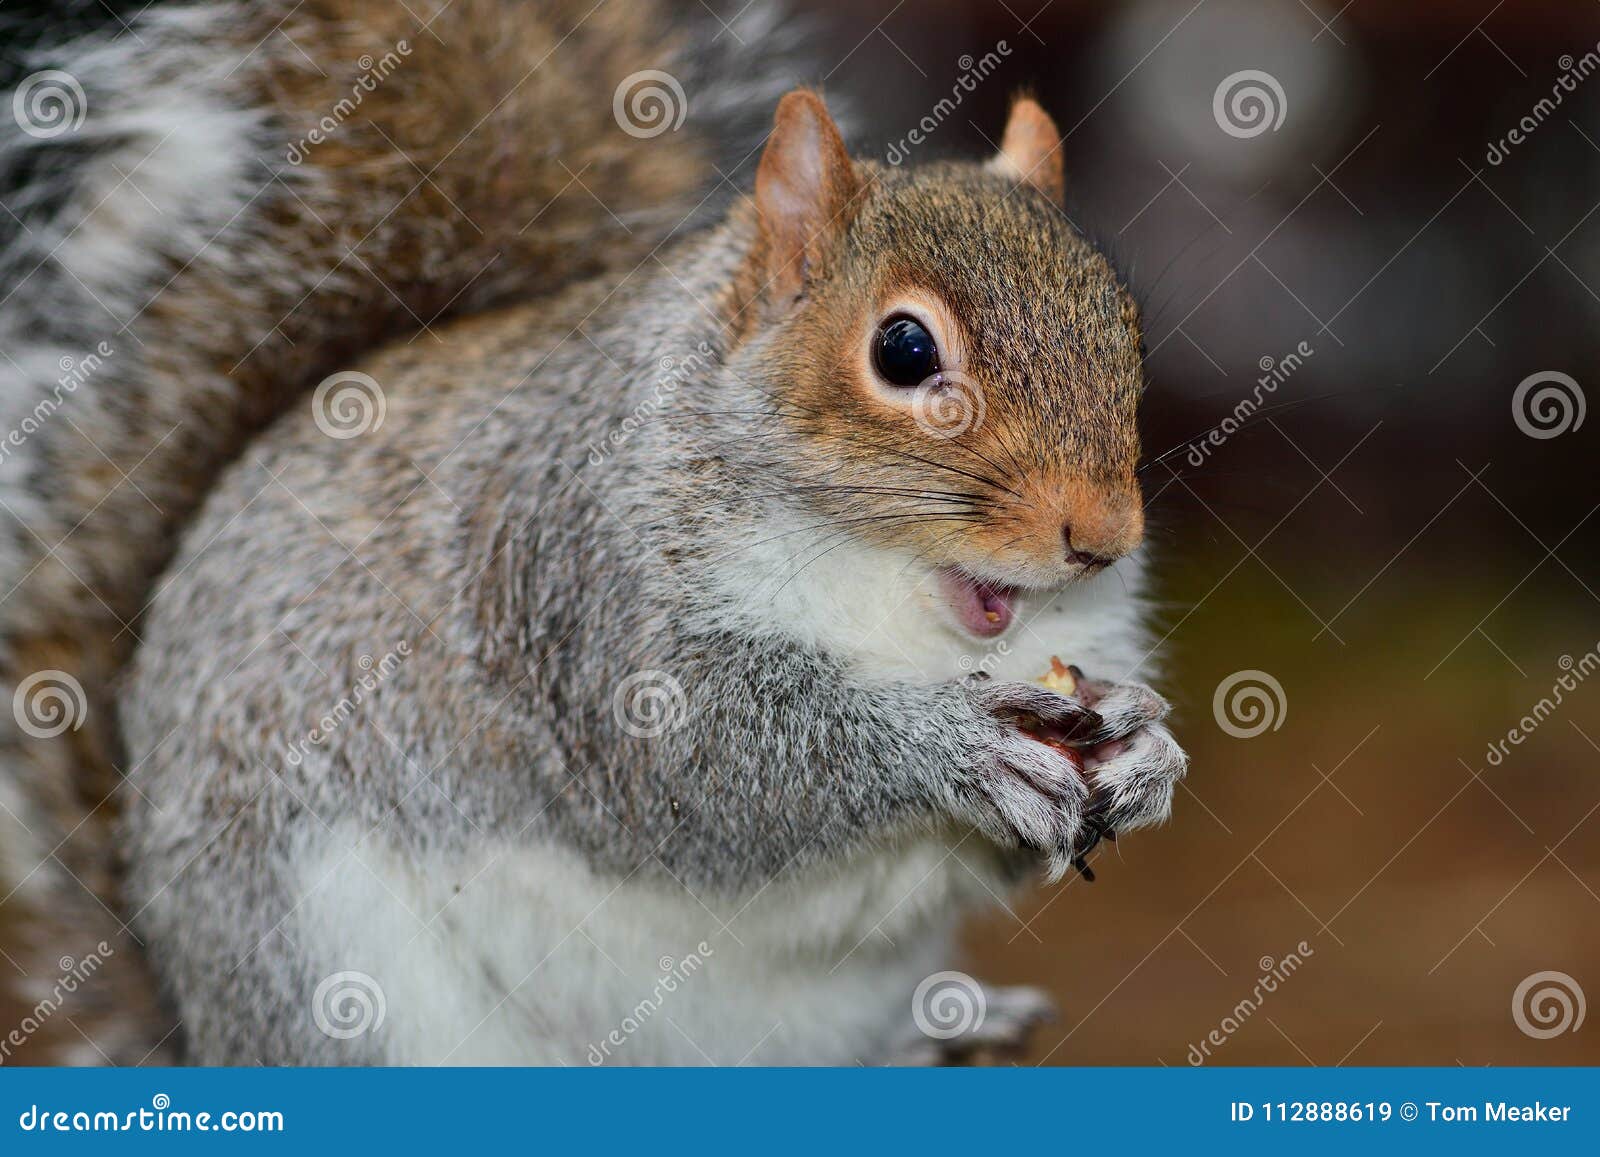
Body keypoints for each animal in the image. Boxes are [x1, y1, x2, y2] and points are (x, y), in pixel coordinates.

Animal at [0, 0, 1186, 1065]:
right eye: (902, 349)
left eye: (1126, 328)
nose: (1099, 537)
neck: (899, 594)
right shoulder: (576, 582)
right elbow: (704, 764)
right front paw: (952, 743)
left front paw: (1146, 746)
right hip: (331, 971)